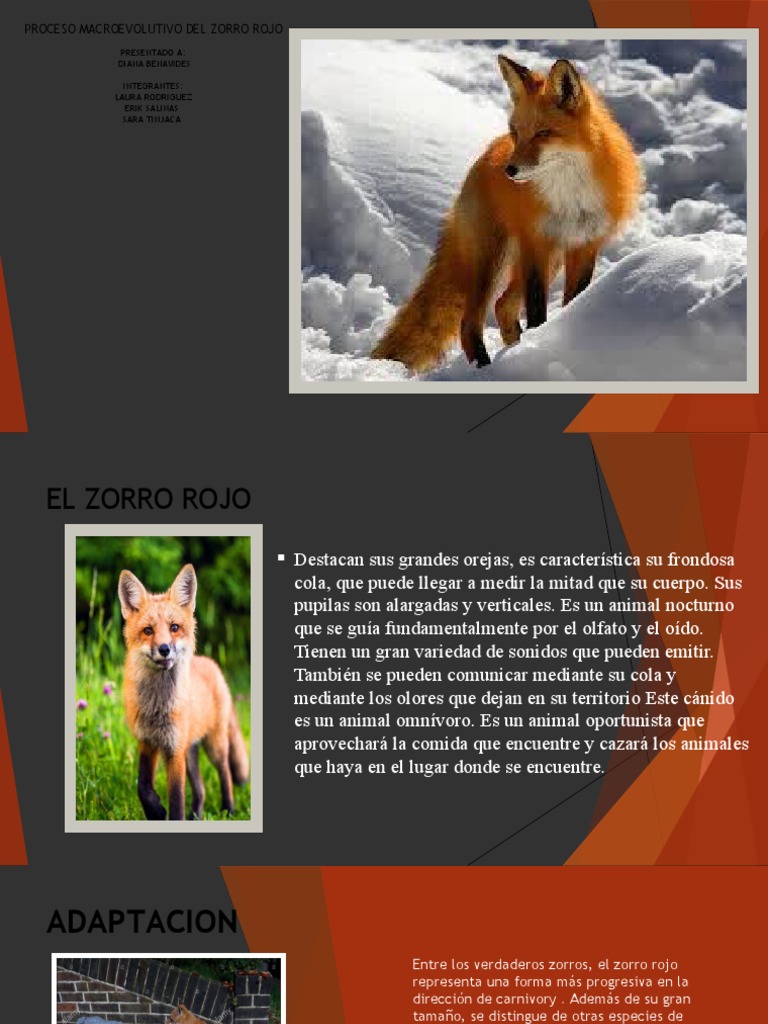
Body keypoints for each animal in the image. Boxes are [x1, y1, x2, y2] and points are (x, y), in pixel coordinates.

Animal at [118, 564, 249, 821]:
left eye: (174, 628)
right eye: (148, 630)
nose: (164, 649)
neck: (157, 707)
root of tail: (211, 664)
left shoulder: (175, 750)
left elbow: (177, 799)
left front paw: (169, 814)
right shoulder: (148, 742)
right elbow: (143, 787)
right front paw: (156, 812)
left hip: (214, 745)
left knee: (226, 773)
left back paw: (229, 808)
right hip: (191, 752)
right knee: (201, 789)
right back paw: (196, 815)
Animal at [372, 54, 641, 371]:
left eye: (543, 133)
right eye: (517, 132)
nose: (509, 171)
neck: (570, 195)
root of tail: (482, 159)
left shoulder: (585, 244)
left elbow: (574, 299)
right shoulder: (536, 243)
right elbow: (537, 310)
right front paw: (537, 347)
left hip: (547, 260)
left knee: (502, 306)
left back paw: (510, 351)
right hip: (495, 259)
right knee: (470, 323)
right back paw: (485, 368)